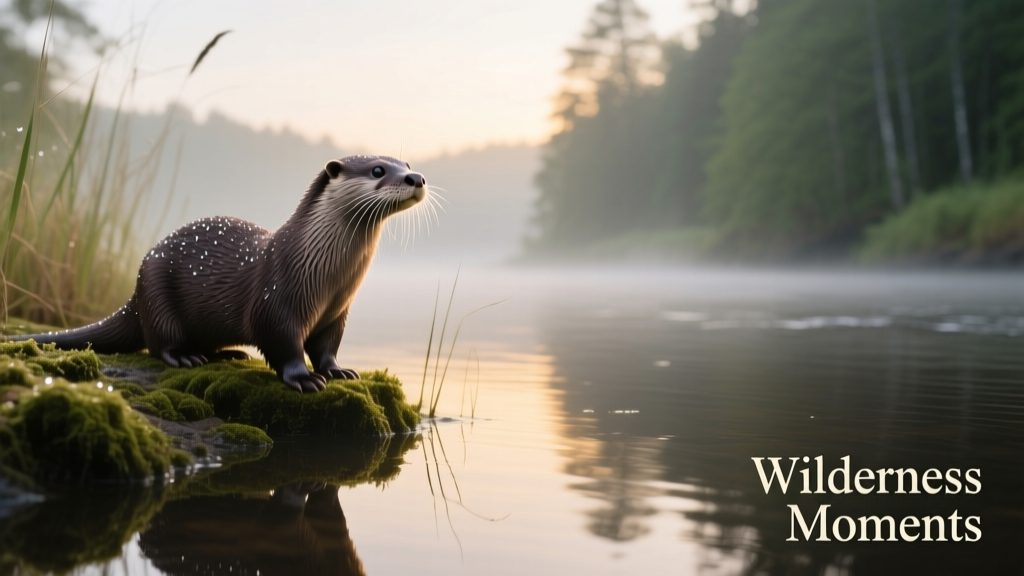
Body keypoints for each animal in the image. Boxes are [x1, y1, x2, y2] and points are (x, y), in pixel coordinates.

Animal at [9, 155, 428, 392]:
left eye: (406, 165)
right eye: (378, 170)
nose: (417, 178)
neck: (325, 275)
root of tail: (135, 290)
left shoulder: (337, 312)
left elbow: (327, 347)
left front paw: (338, 371)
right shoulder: (276, 299)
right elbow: (284, 344)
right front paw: (304, 378)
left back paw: (228, 353)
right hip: (158, 293)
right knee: (158, 343)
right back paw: (186, 357)